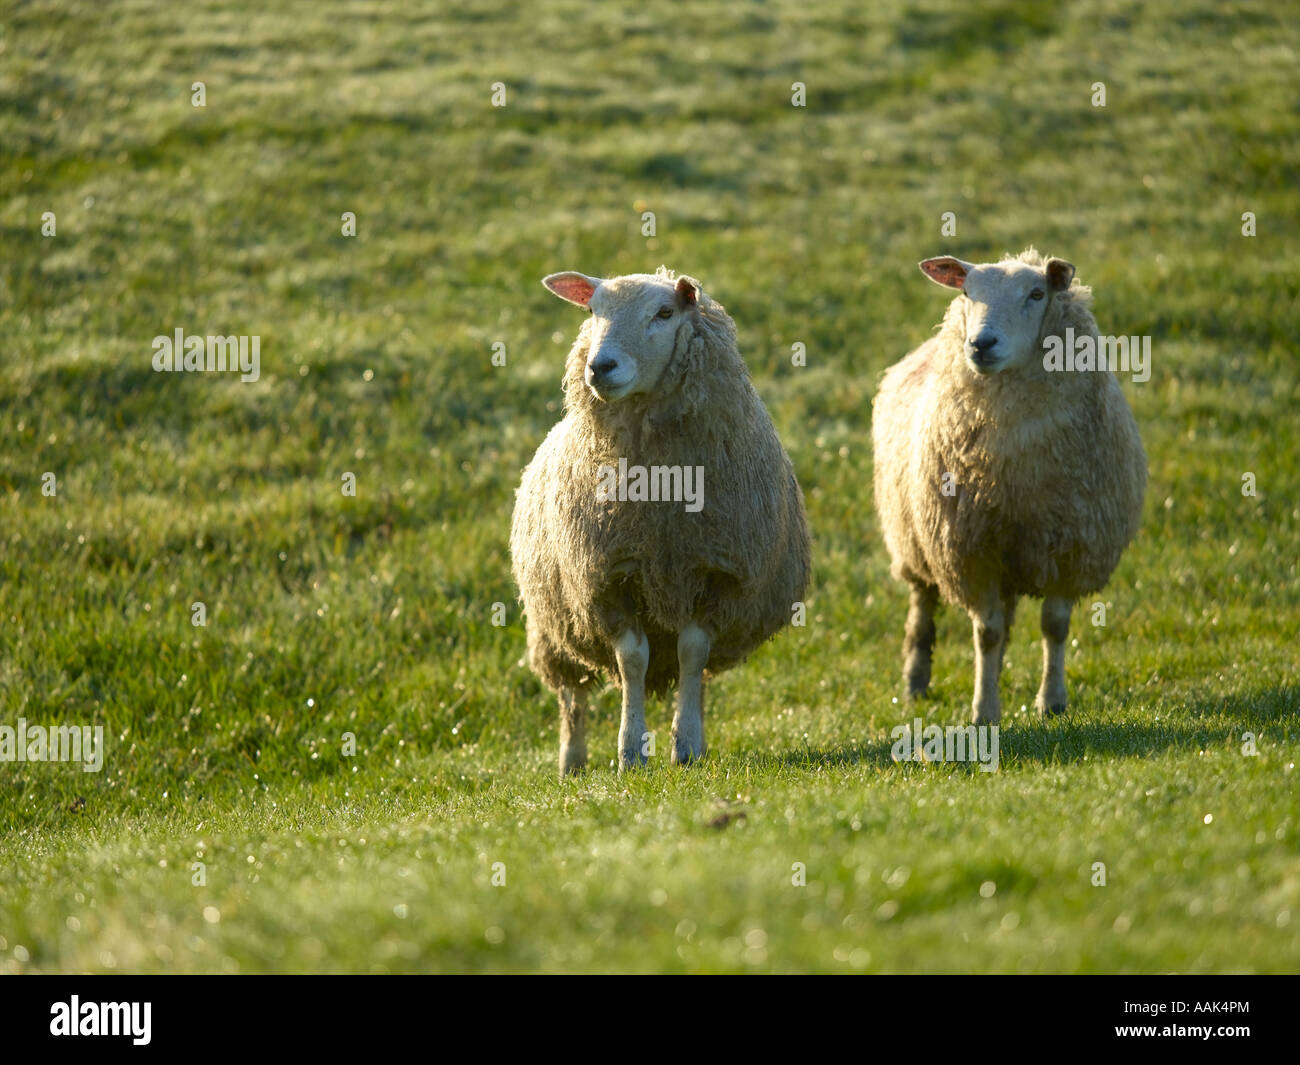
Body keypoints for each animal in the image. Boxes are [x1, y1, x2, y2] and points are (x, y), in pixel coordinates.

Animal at [511, 267, 811, 776]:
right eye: (593, 311)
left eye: (665, 313)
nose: (599, 367)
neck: (662, 495)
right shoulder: (610, 578)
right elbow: (632, 661)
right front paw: (631, 751)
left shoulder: (717, 575)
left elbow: (693, 654)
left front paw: (685, 746)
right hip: (556, 625)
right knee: (572, 696)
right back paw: (571, 763)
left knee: (694, 674)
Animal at [872, 248, 1146, 725]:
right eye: (967, 292)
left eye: (1036, 294)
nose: (981, 344)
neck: (1018, 469)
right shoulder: (972, 553)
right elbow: (987, 633)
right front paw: (984, 710)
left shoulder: (1070, 548)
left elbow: (1054, 627)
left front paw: (1051, 701)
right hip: (913, 540)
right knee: (923, 606)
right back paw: (915, 682)